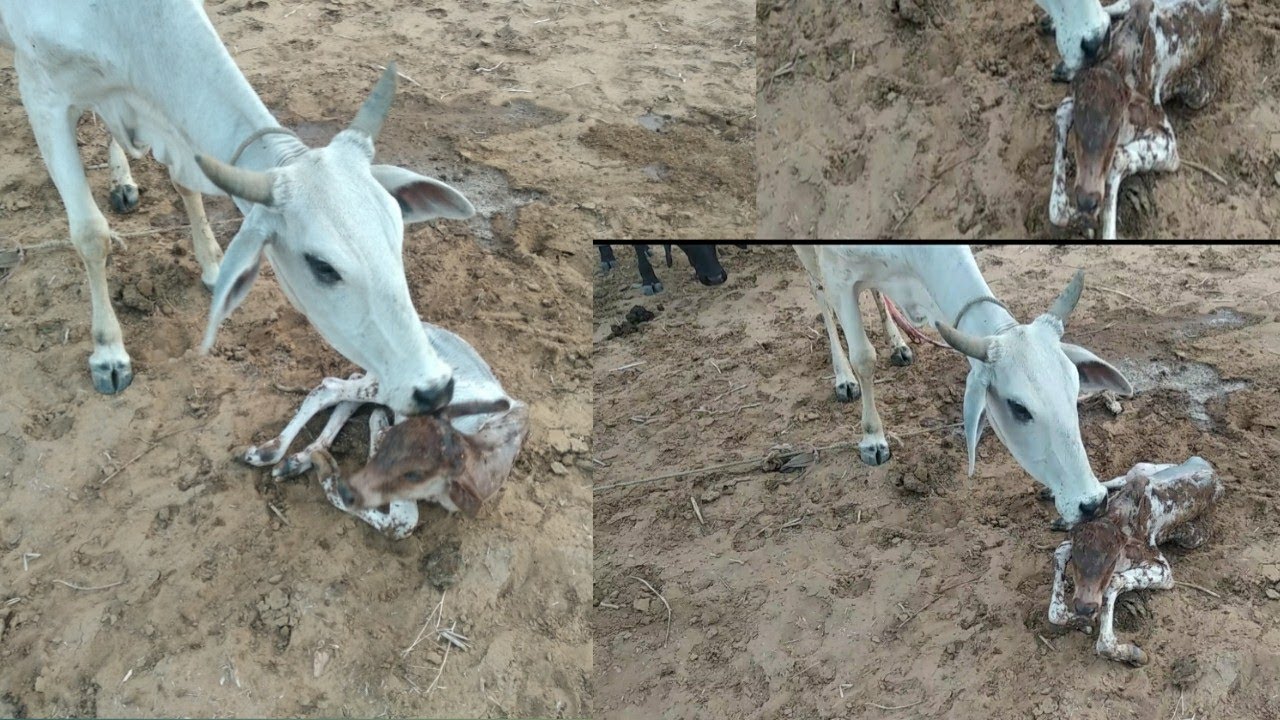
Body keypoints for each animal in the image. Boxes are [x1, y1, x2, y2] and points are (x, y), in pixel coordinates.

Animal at [0, 0, 473, 419]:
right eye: (322, 267)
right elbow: (90, 235)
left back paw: (123, 181)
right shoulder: (42, 96)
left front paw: (212, 264)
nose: (435, 388)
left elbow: (184, 184)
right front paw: (108, 352)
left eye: (397, 237)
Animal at [794, 245, 1133, 528]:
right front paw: (872, 438)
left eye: (1074, 392)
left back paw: (898, 344)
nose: (1093, 503)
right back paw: (844, 377)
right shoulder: (838, 275)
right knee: (818, 292)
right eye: (1019, 408)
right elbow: (864, 357)